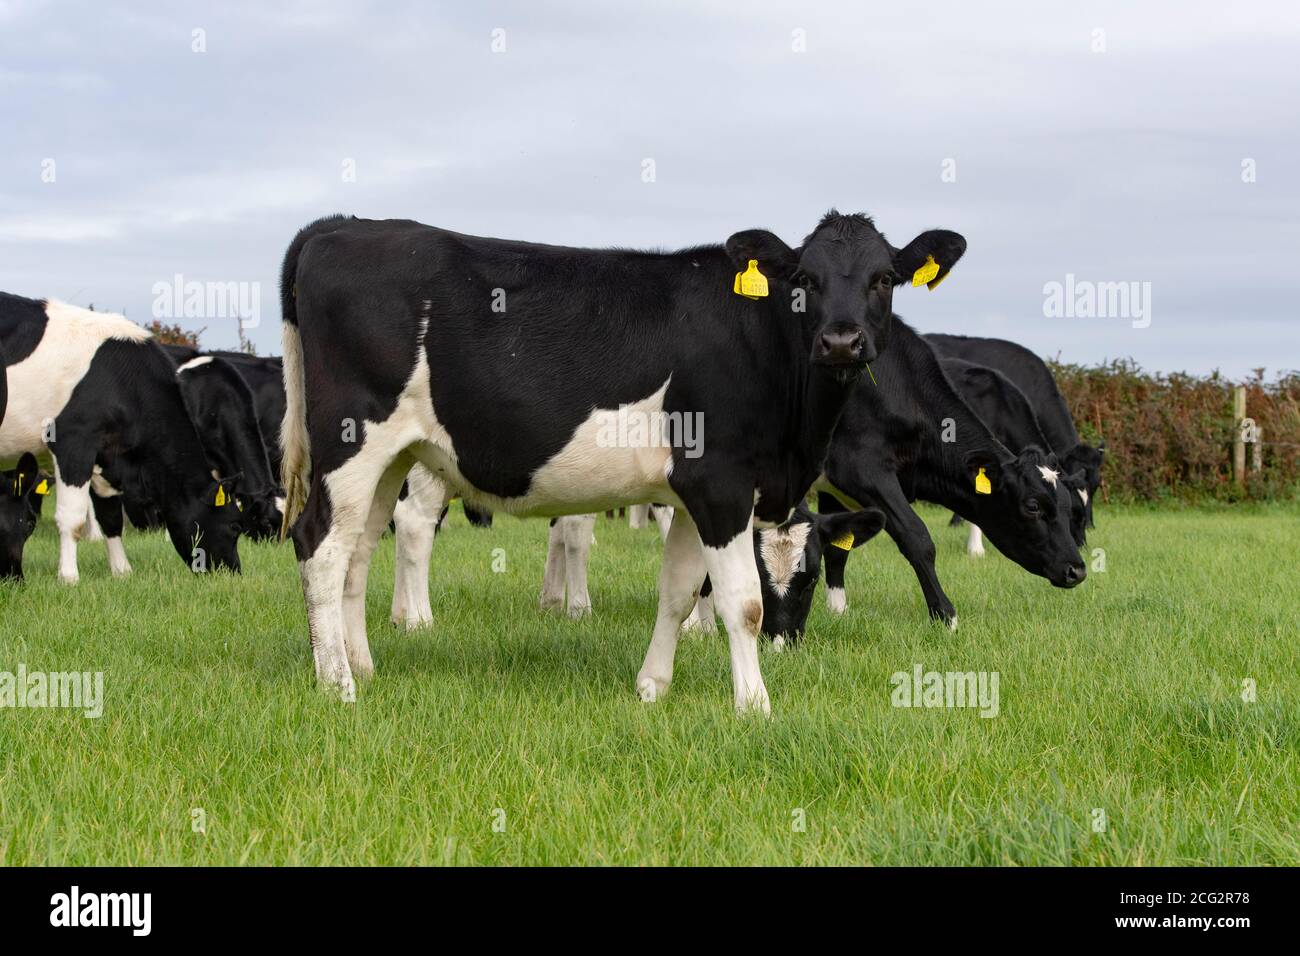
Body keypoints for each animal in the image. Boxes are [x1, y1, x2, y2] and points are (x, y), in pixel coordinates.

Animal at [0, 293, 243, 581]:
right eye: (234, 526)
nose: (234, 573)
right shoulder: (74, 441)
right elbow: (73, 517)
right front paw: (69, 577)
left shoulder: (106, 455)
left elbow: (111, 516)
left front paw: (121, 571)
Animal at [278, 211, 967, 712]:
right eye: (805, 280)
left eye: (884, 278)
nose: (842, 341)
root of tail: (339, 226)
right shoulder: (721, 484)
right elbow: (740, 601)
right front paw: (754, 705)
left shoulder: (693, 495)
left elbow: (680, 592)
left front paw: (652, 688)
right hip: (351, 443)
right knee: (321, 548)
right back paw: (336, 685)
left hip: (392, 458)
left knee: (359, 552)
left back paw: (362, 666)